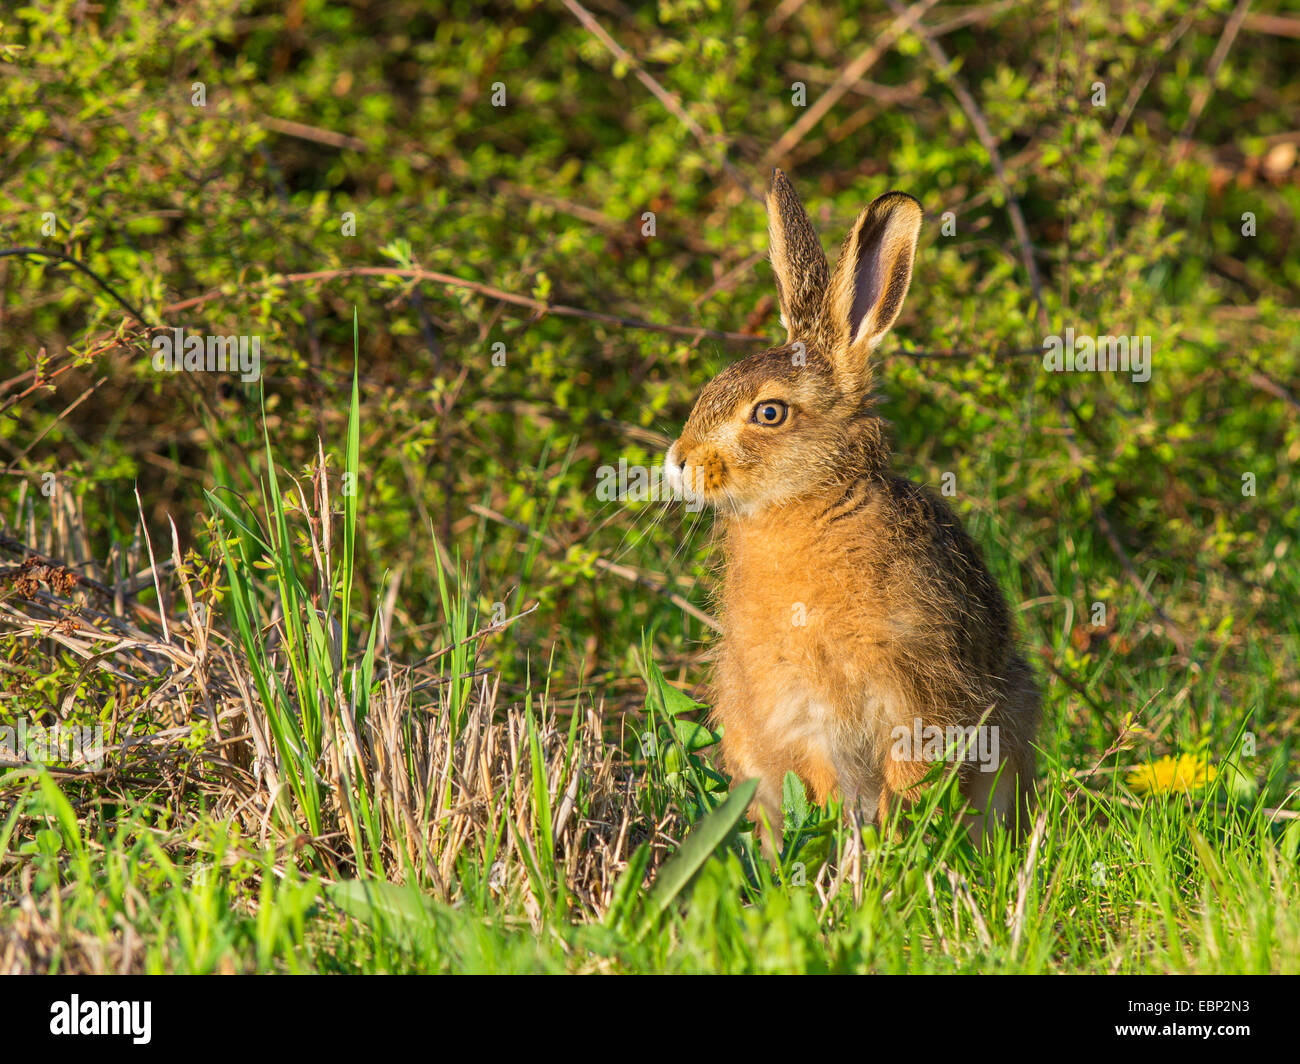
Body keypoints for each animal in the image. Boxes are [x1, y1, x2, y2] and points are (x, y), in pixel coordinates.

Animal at [665, 169, 1039, 845]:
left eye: (769, 412)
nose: (678, 461)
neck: (814, 505)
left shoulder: (914, 693)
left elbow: (911, 775)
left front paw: (900, 840)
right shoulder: (800, 711)